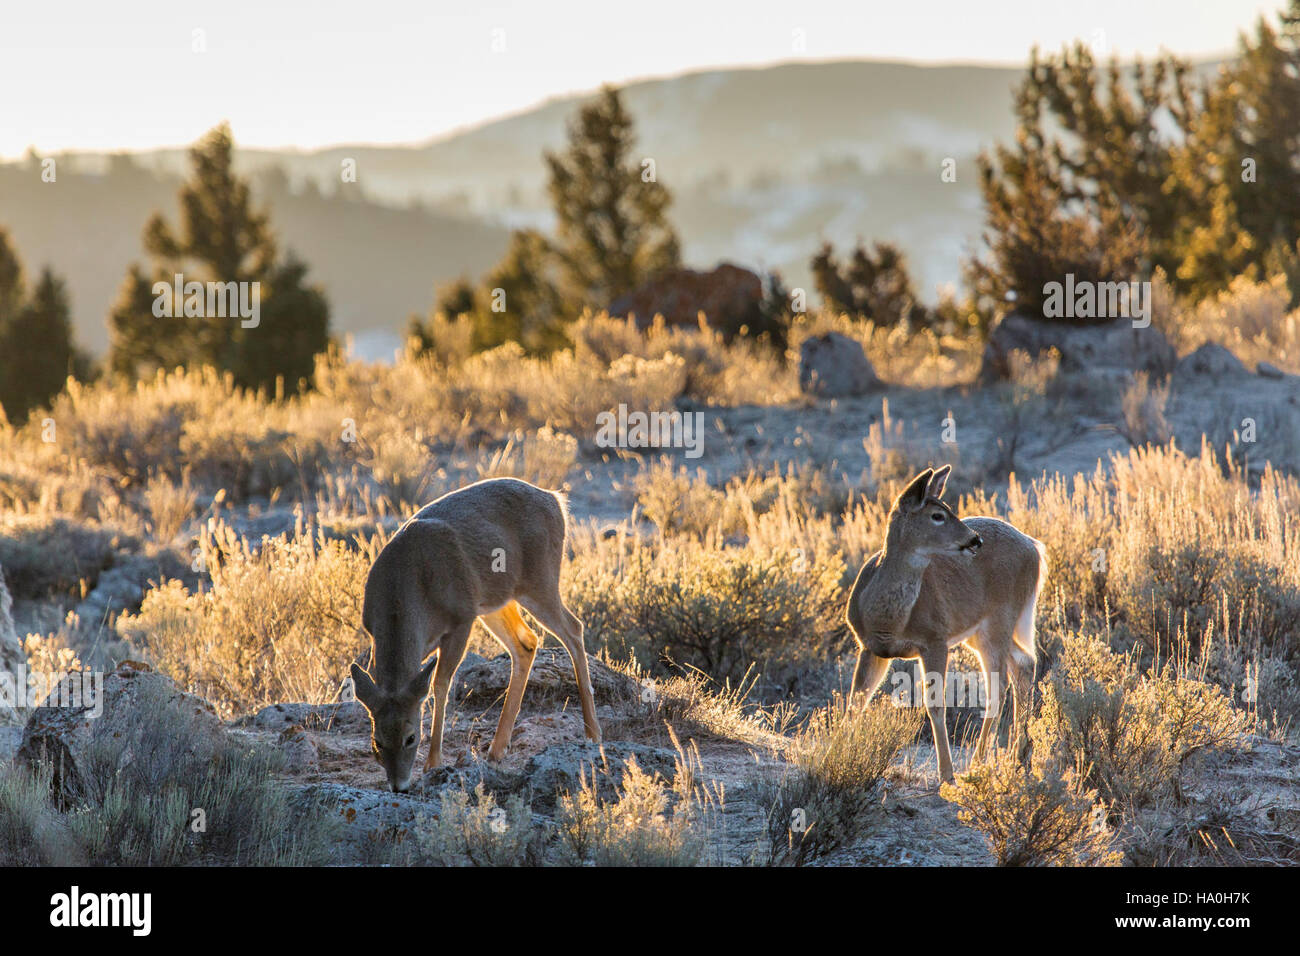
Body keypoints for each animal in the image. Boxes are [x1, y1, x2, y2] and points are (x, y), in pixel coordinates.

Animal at [350, 477, 600, 793]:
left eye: (411, 737)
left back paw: (593, 733)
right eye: (377, 742)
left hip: (539, 581)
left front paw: (433, 762)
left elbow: (440, 684)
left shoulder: (461, 620)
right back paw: (497, 748)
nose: (399, 786)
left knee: (573, 629)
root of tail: (555, 500)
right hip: (497, 600)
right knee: (526, 642)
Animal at [845, 465, 1047, 785]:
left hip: (1000, 618)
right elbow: (857, 700)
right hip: (980, 630)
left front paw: (947, 774)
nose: (975, 540)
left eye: (949, 509)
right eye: (938, 515)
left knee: (999, 686)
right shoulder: (870, 647)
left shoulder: (935, 640)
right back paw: (1020, 756)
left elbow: (935, 704)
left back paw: (978, 763)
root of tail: (1035, 547)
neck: (888, 618)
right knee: (1024, 663)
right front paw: (834, 750)